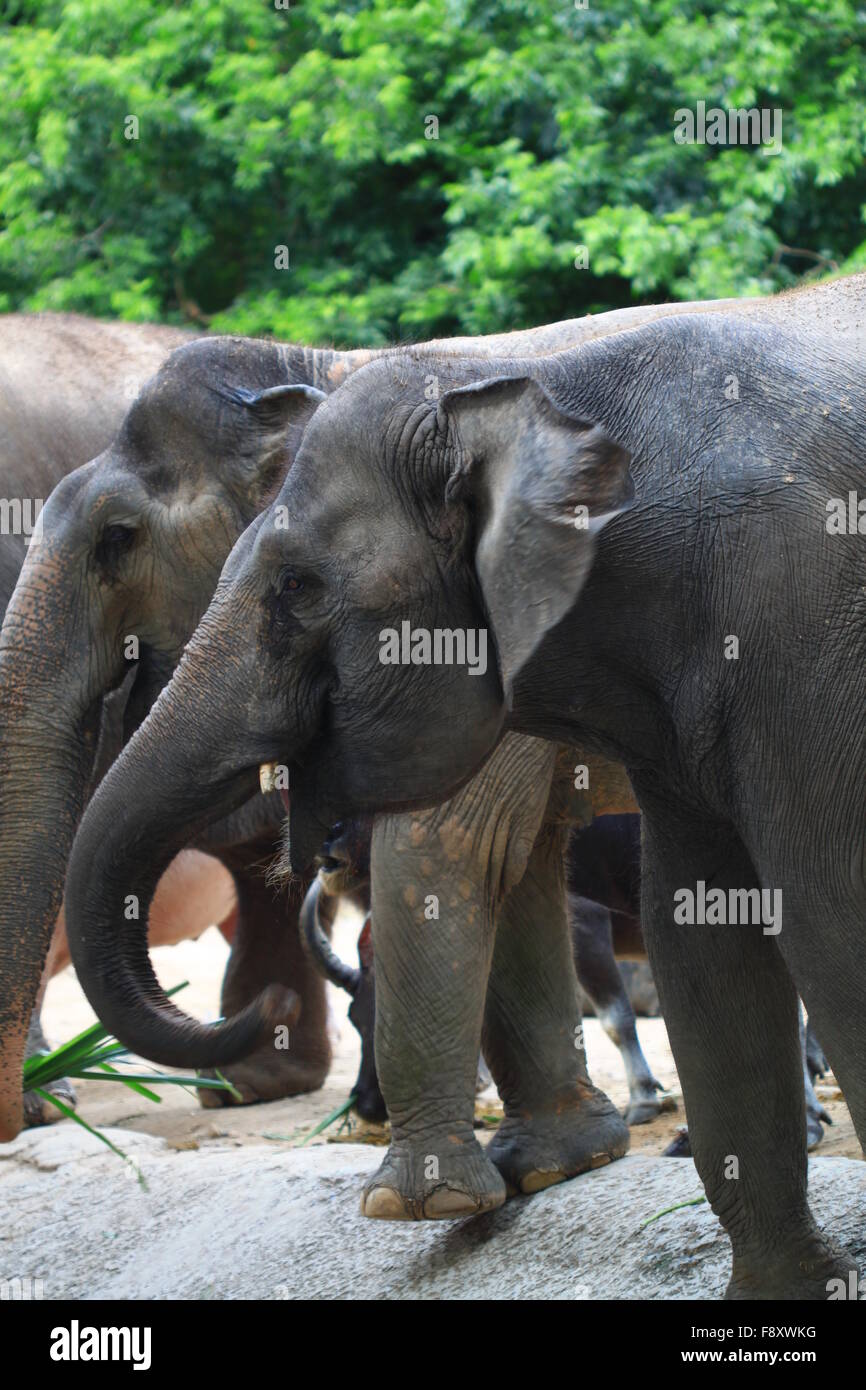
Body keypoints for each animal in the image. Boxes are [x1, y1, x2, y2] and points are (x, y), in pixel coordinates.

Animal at [65, 273, 866, 1298]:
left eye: (296, 587)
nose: (268, 1009)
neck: (520, 383)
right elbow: (703, 944)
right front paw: (787, 1292)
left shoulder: (801, 636)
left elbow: (828, 921)